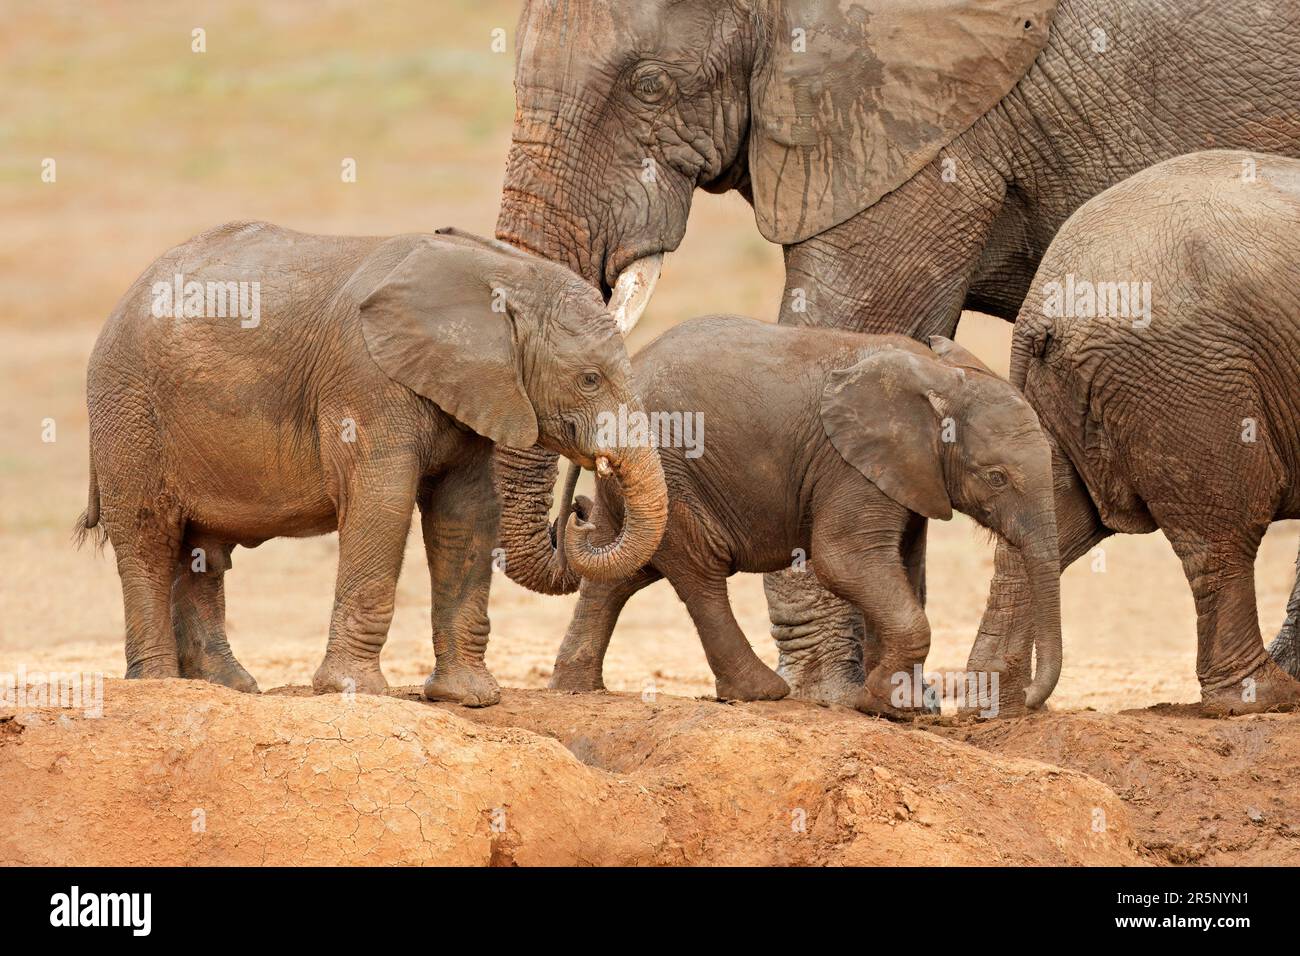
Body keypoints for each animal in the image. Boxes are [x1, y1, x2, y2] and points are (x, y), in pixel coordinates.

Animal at [79, 221, 667, 702]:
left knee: (201, 550)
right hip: (129, 409)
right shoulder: (366, 380)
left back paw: (226, 687)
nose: (580, 510)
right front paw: (353, 691)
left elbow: (466, 514)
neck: (496, 274)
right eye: (589, 379)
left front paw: (469, 698)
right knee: (149, 538)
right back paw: (161, 685)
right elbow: (382, 504)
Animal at [551, 315, 1062, 714]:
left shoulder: (908, 474)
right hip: (671, 472)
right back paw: (761, 692)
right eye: (996, 477)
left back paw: (577, 689)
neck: (943, 376)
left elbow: (902, 564)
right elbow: (844, 560)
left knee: (620, 569)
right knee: (700, 569)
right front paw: (883, 702)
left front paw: (904, 705)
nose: (1029, 700)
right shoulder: (849, 465)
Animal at [971, 150, 1300, 714]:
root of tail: (1041, 309)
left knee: (1050, 521)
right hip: (1189, 382)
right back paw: (1262, 698)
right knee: (1225, 530)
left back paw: (997, 708)